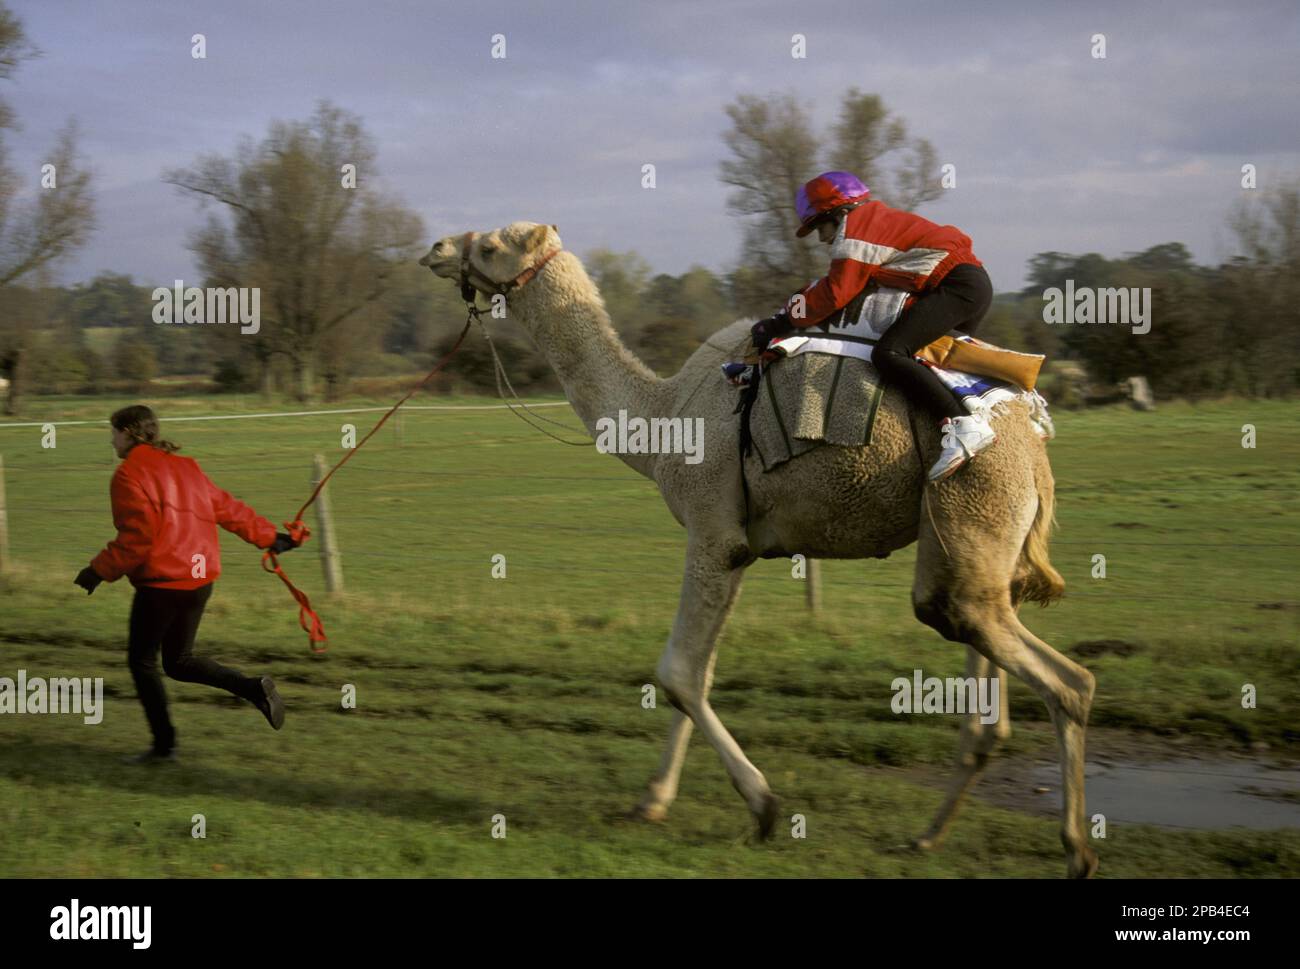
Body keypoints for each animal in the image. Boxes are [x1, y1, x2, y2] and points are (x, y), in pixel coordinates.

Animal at [420, 222, 1098, 878]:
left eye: (491, 245)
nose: (437, 249)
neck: (662, 419)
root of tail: (1034, 448)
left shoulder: (710, 531)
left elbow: (678, 671)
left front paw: (764, 807)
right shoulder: (736, 547)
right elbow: (698, 673)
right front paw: (653, 801)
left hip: (971, 506)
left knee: (1063, 680)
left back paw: (1075, 850)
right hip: (973, 543)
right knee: (986, 696)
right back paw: (928, 836)